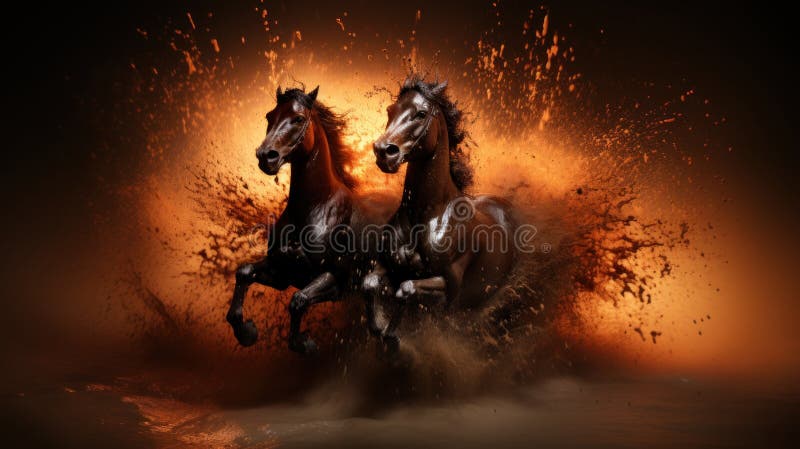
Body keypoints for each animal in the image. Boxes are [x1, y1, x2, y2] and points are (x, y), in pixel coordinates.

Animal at [225, 86, 392, 354]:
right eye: (269, 116)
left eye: (298, 119)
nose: (266, 156)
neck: (313, 208)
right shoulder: (281, 274)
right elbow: (244, 272)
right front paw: (247, 331)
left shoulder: (335, 280)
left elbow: (298, 300)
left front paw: (305, 343)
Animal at [362, 76, 519, 352]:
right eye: (391, 111)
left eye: (420, 114)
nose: (384, 152)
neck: (426, 216)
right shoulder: (389, 266)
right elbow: (370, 283)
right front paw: (379, 326)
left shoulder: (449, 289)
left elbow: (407, 289)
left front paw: (392, 335)